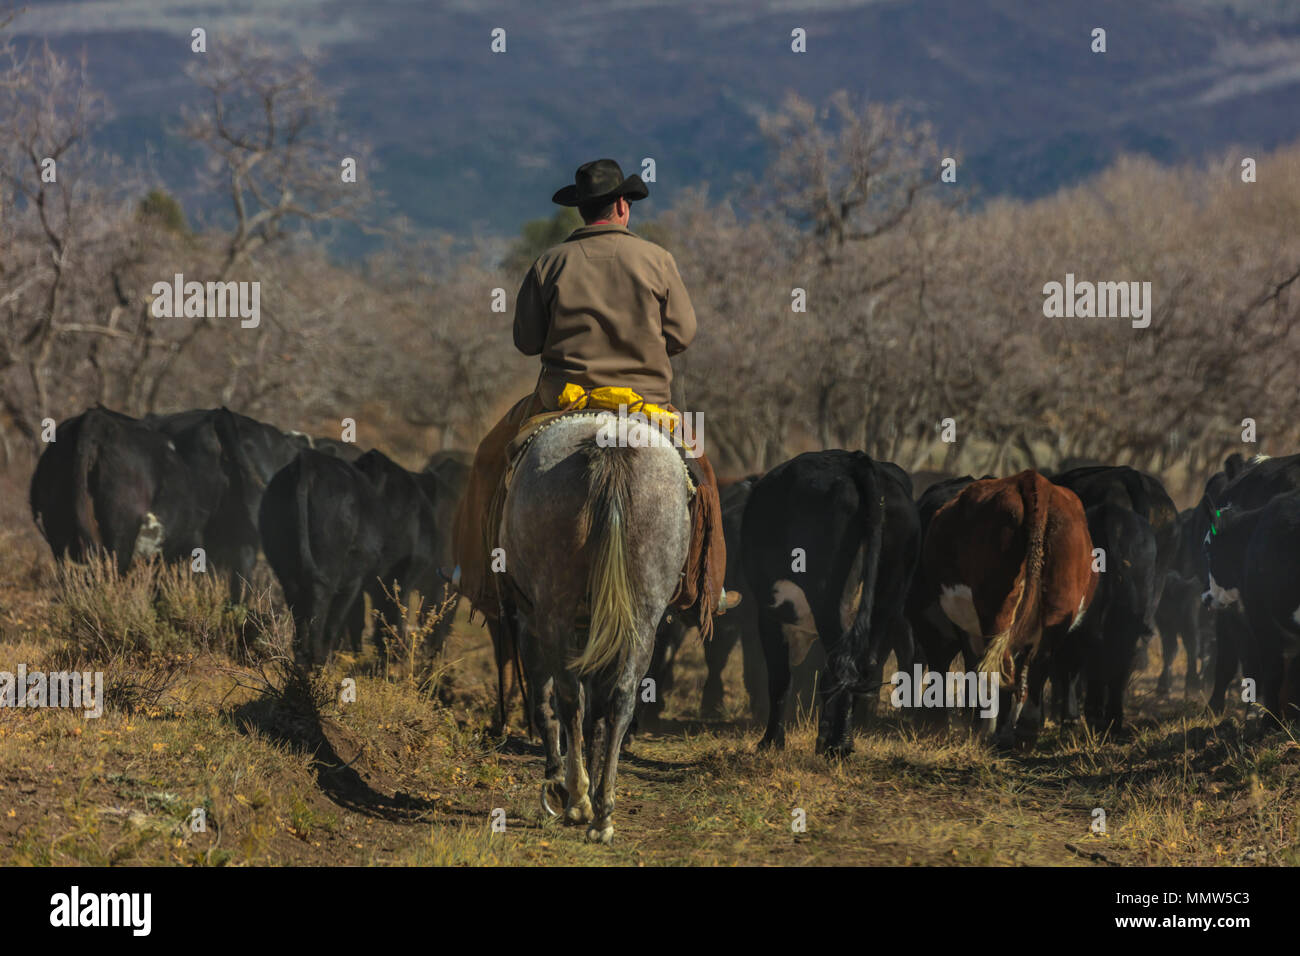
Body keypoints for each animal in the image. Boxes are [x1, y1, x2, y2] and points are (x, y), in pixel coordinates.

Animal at [742, 450, 919, 756]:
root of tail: (855, 460)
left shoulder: (770, 615)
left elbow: (780, 678)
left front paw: (771, 741)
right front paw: (820, 737)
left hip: (828, 600)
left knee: (842, 663)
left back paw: (840, 744)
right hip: (887, 599)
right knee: (863, 664)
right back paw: (838, 740)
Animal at [923, 470, 1097, 747]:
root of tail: (1032, 481)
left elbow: (976, 666)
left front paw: (980, 724)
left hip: (996, 607)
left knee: (1002, 663)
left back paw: (998, 732)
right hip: (1059, 605)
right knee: (1038, 660)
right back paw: (1025, 728)